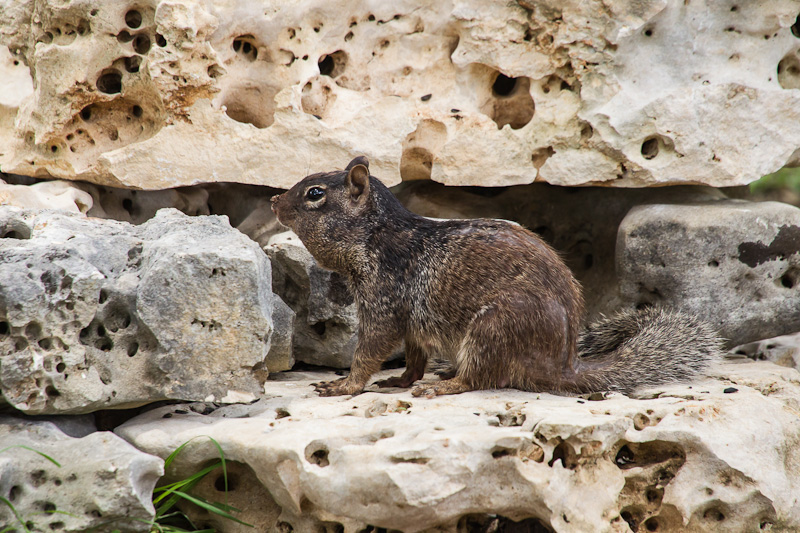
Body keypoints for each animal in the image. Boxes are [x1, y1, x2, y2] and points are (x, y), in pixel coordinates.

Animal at [270, 156, 722, 398]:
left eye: (314, 194)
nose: (274, 200)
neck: (376, 234)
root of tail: (562, 366)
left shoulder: (382, 301)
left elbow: (371, 350)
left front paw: (345, 386)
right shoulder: (415, 324)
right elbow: (414, 355)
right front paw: (400, 379)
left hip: (494, 326)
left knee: (480, 377)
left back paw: (445, 385)